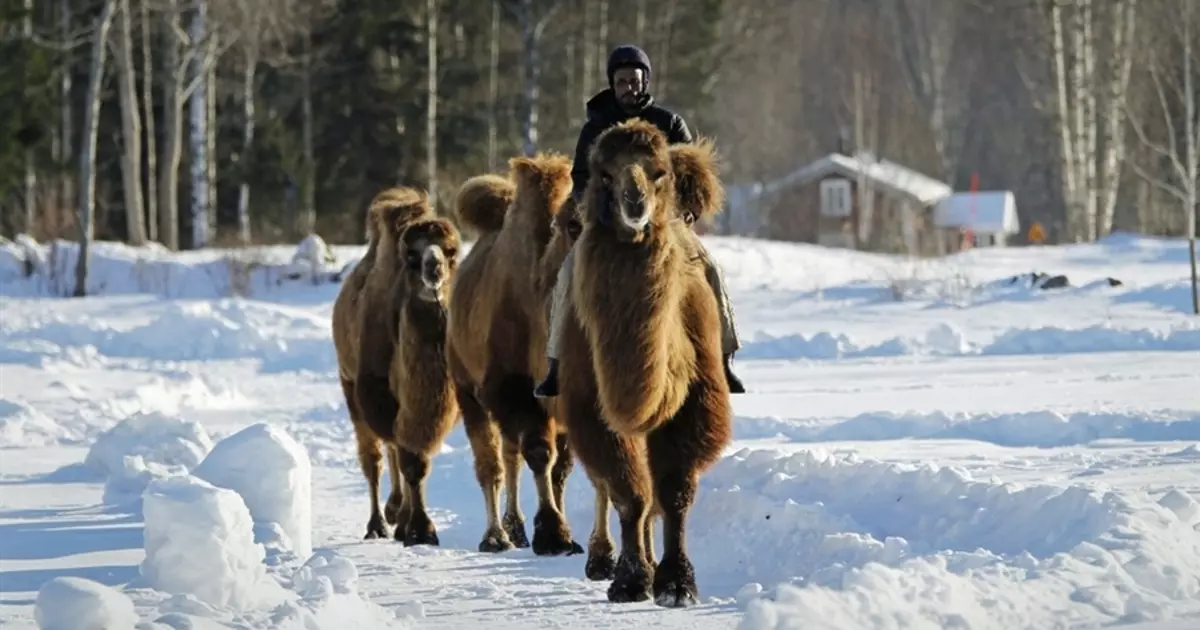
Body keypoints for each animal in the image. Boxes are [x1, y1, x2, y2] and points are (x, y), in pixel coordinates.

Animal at [331, 184, 434, 537]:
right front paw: (404, 522)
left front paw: (409, 520)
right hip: (349, 382)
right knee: (372, 455)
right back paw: (379, 521)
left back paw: (395, 512)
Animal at [446, 153, 585, 554]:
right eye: (572, 224)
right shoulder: (511, 388)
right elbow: (537, 454)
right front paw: (552, 532)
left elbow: (559, 466)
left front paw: (560, 531)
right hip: (467, 389)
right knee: (492, 462)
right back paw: (497, 535)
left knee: (513, 455)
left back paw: (517, 528)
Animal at [556, 117, 734, 604]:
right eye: (604, 175)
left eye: (660, 173)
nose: (634, 202)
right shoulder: (590, 406)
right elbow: (626, 492)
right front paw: (631, 579)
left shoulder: (698, 400)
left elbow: (672, 491)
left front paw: (677, 583)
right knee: (608, 486)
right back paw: (603, 559)